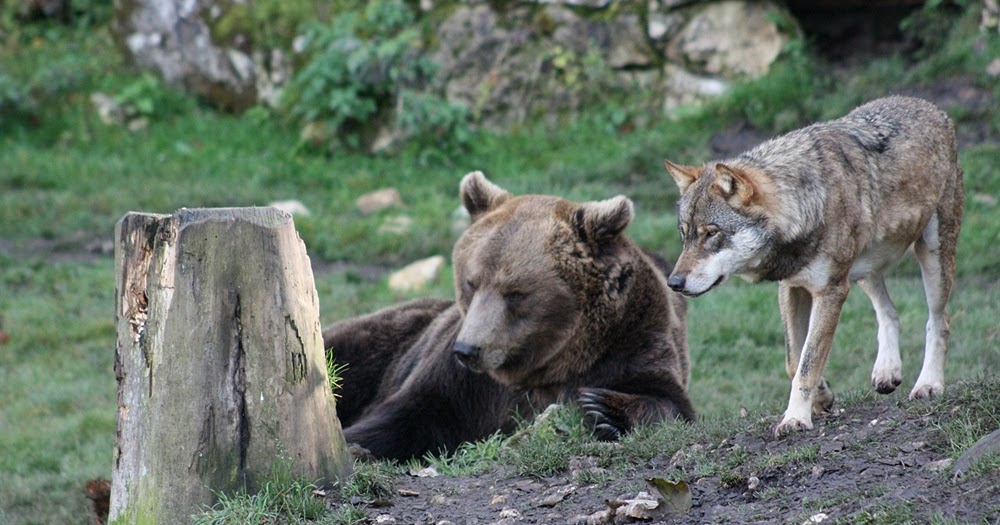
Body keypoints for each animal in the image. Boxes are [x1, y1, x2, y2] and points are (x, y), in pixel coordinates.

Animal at [323, 171, 694, 461]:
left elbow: (670, 403)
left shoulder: (632, 344)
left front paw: (603, 408)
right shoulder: (460, 384)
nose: (468, 350)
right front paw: (354, 446)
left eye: (516, 292)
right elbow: (405, 416)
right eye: (472, 282)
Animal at [663, 96, 964, 436]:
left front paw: (796, 418)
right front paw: (821, 398)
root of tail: (930, 106)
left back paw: (929, 384)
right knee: (889, 311)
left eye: (711, 233)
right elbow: (795, 360)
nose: (673, 283)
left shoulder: (830, 292)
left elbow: (808, 361)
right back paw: (887, 371)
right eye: (685, 235)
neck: (805, 202)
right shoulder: (791, 287)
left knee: (939, 320)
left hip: (931, 257)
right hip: (862, 270)